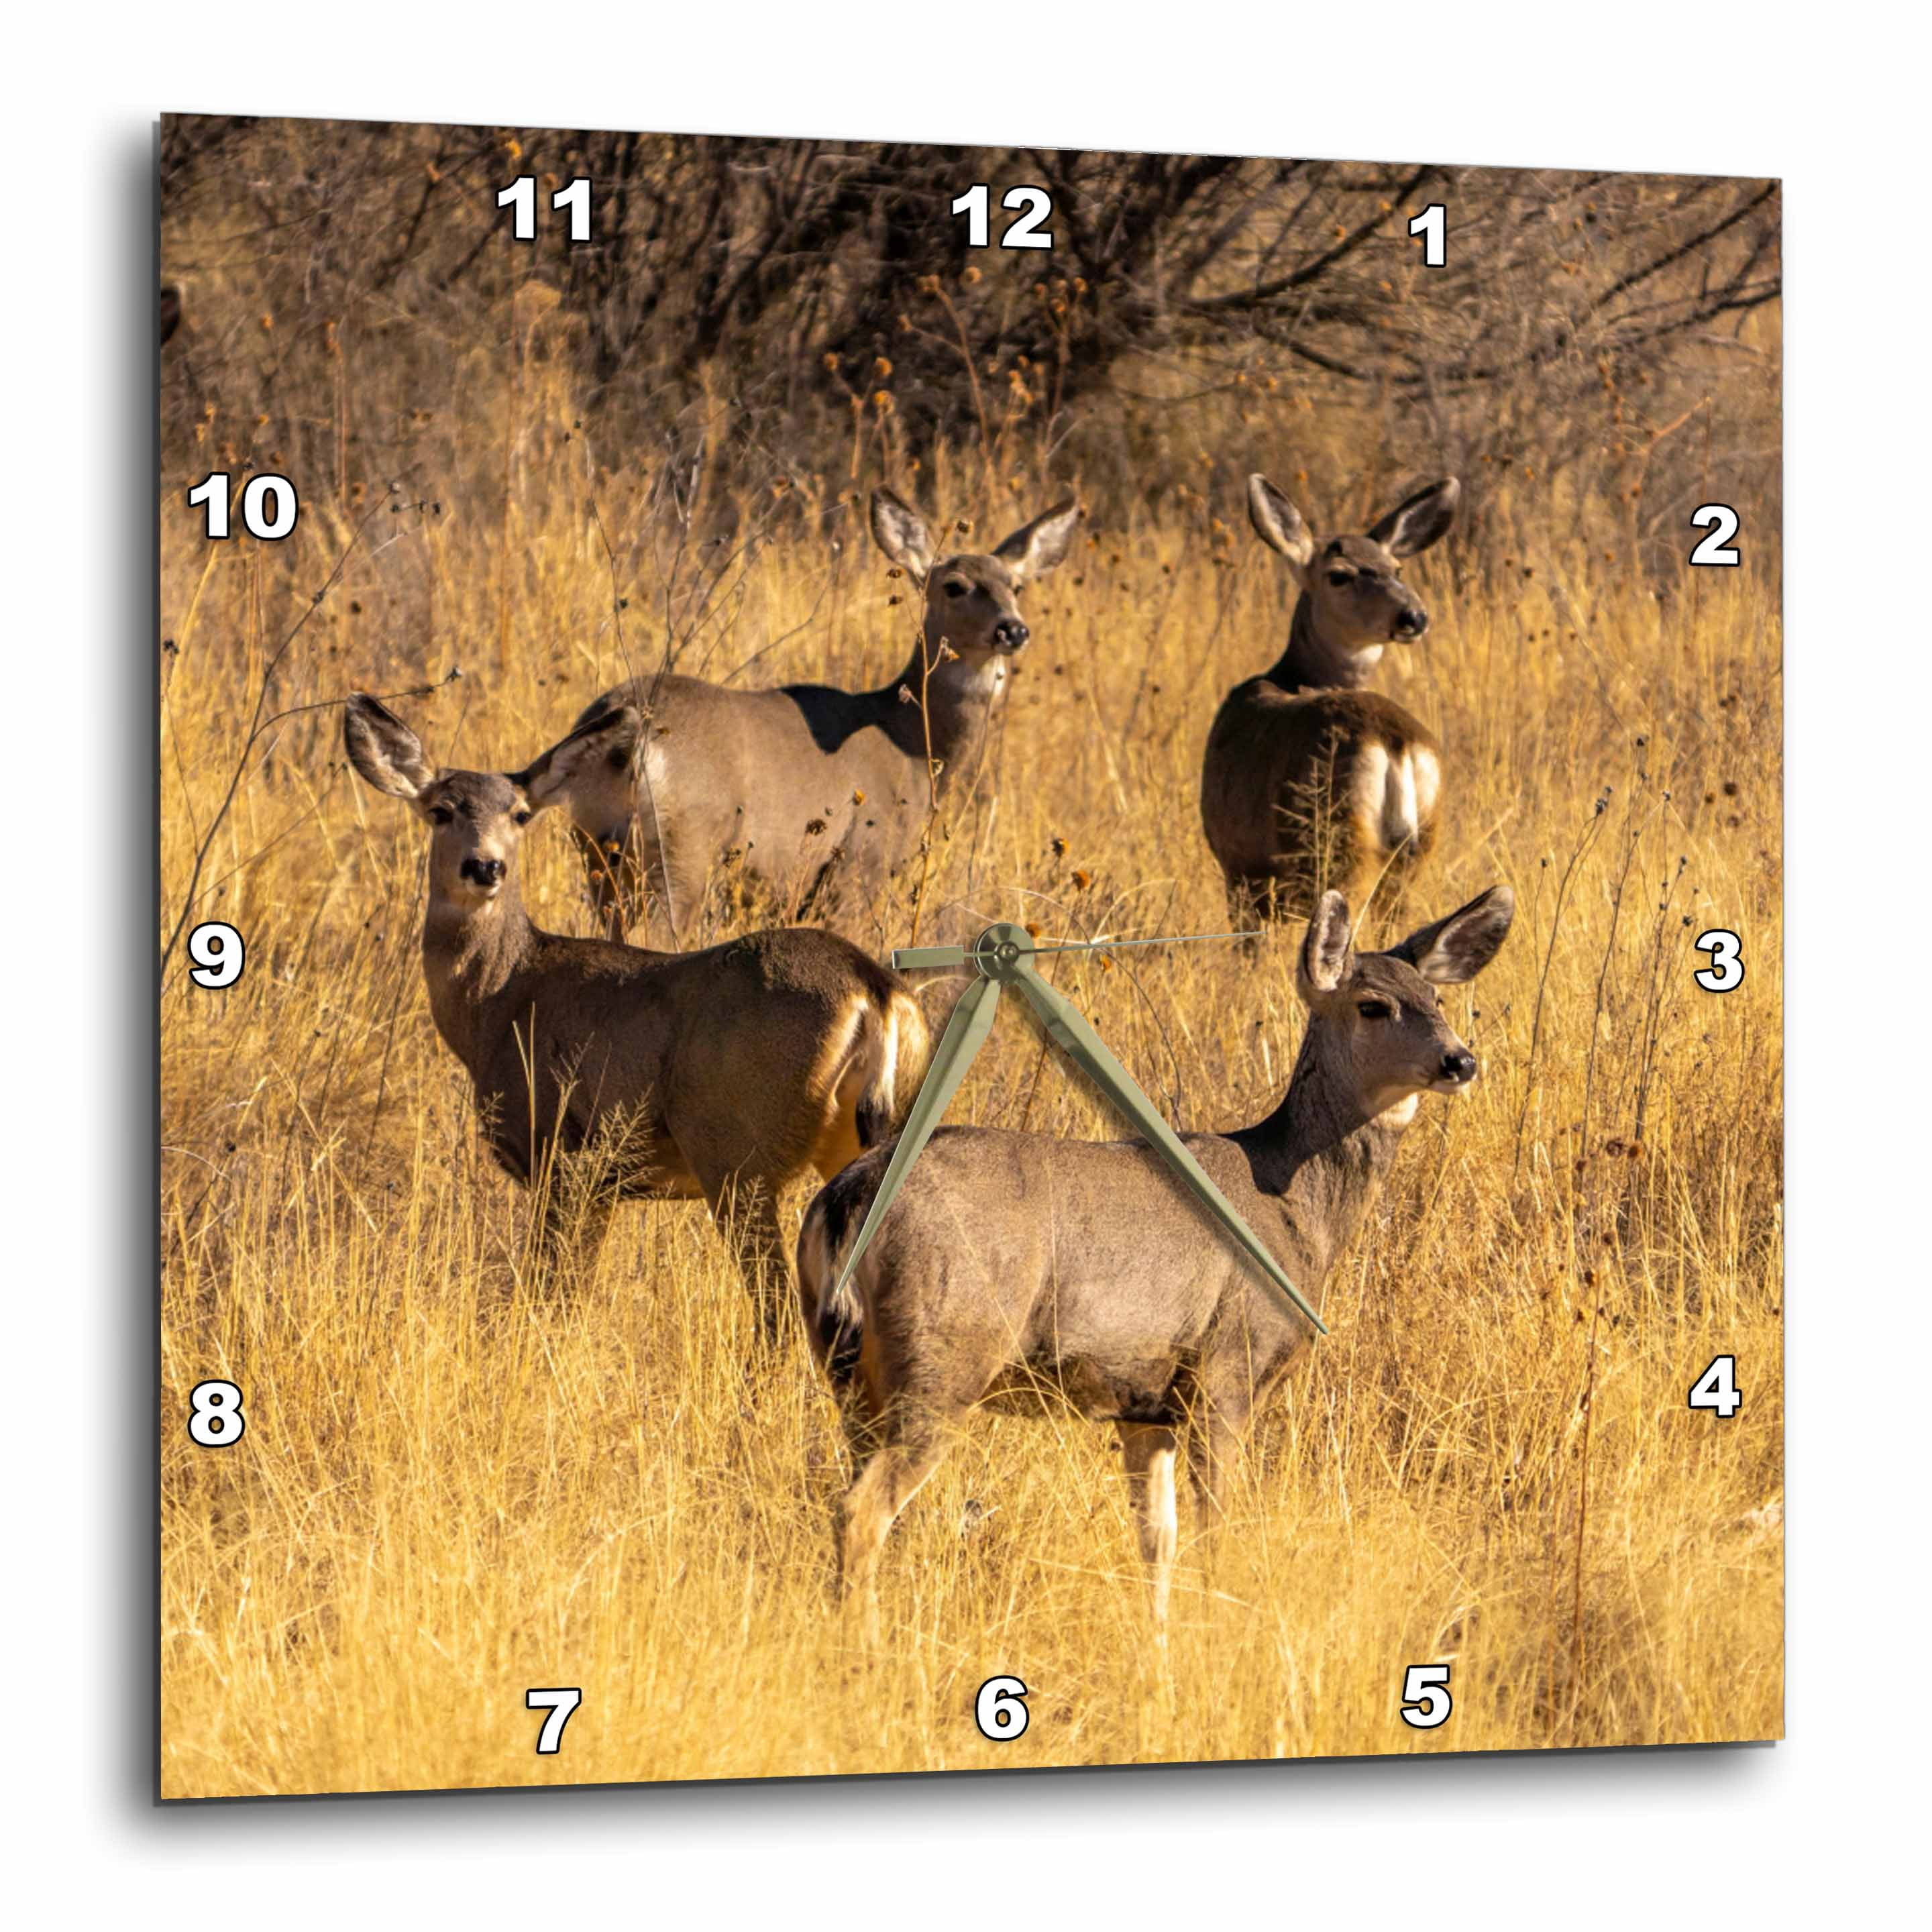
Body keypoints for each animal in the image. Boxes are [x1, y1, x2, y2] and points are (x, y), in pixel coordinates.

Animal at [342, 693, 930, 1330]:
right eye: (441, 810)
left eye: (520, 815)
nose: (485, 867)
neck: (501, 1001)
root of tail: (874, 989)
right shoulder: (597, 1179)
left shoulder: (566, 1157)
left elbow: (554, 1292)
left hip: (734, 1153)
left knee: (776, 1306)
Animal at [550, 487, 1081, 943]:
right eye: (954, 586)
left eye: (1016, 586)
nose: (1013, 630)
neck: (911, 742)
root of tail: (627, 731)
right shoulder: (858, 863)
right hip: (680, 847)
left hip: (598, 853)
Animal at [797, 883, 1513, 1640]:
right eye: (1373, 1004)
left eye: (1436, 999)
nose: (1461, 1061)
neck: (1290, 1205)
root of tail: (845, 1199)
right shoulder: (1226, 1371)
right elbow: (1215, 1532)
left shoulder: (1148, 1406)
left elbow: (1156, 1541)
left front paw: (1161, 1645)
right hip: (945, 1351)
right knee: (862, 1509)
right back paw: (868, 1650)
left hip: (851, 1371)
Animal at [1200, 472, 1461, 928]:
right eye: (1339, 575)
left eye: (1396, 569)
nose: (1413, 616)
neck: (1294, 676)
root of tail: (1395, 744)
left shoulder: (1239, 867)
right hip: (1417, 851)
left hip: (1339, 842)